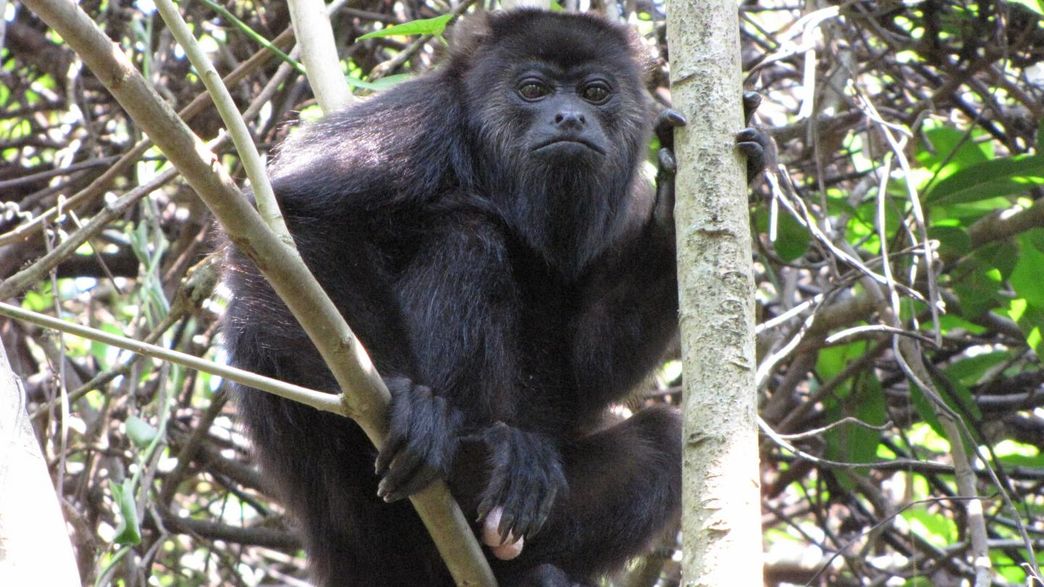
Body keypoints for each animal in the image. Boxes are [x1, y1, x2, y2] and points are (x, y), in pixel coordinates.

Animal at [221, 8, 769, 586]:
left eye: (596, 92)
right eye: (532, 89)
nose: (570, 118)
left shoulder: (627, 203)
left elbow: (585, 374)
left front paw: (673, 209)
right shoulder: (417, 123)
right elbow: (301, 223)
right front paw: (411, 401)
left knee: (663, 441)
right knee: (468, 234)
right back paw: (474, 462)